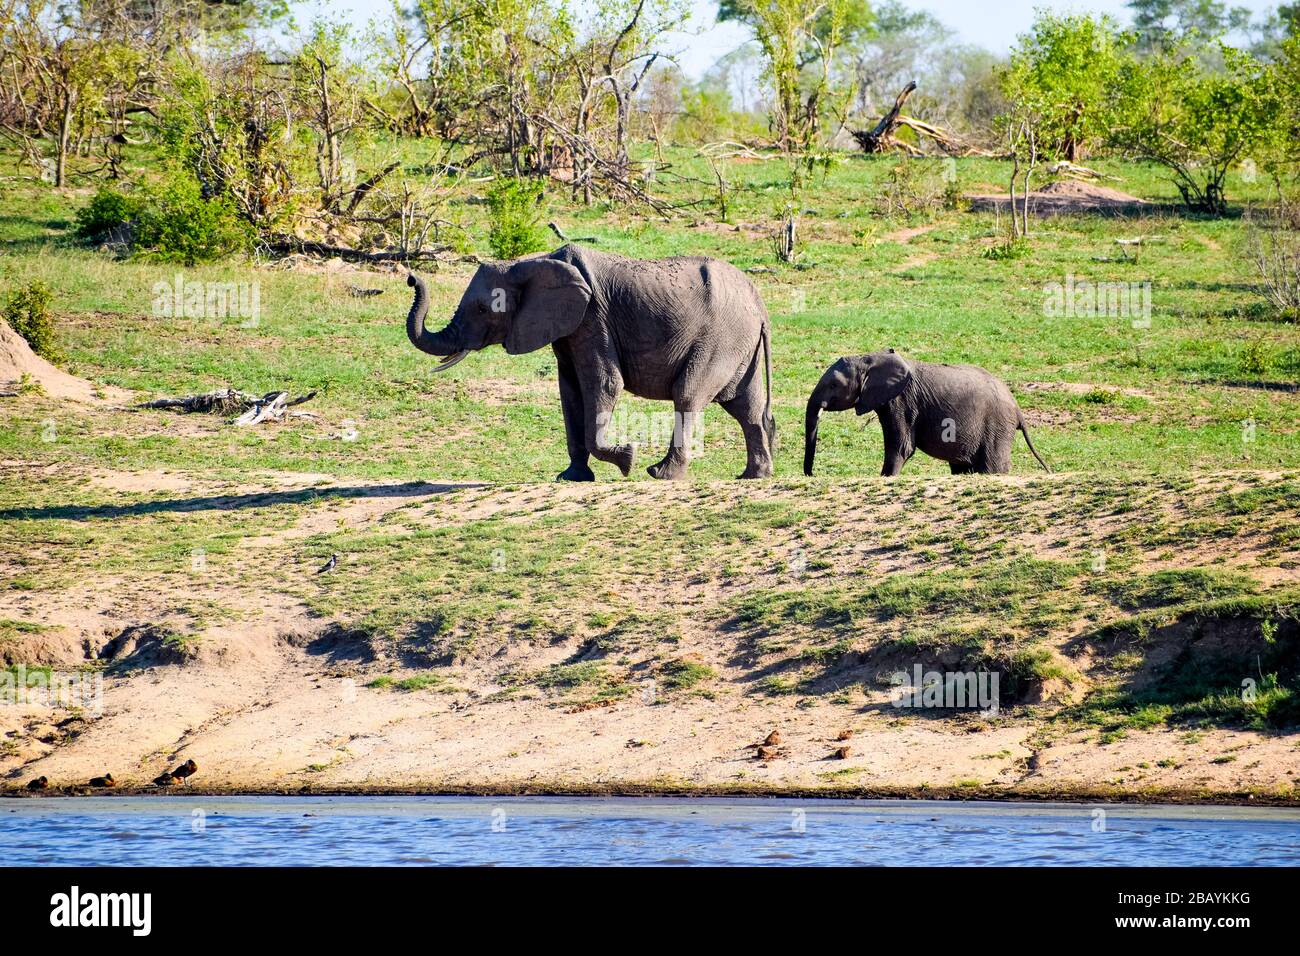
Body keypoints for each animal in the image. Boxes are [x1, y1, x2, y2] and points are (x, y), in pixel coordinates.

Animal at [406, 244, 775, 480]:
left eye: (484, 309)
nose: (411, 277)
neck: (532, 262)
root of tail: (759, 305)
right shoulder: (567, 328)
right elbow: (570, 393)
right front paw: (571, 478)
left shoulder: (593, 319)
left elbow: (604, 383)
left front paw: (627, 459)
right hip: (738, 343)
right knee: (745, 407)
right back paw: (754, 476)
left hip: (721, 337)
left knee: (687, 395)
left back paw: (662, 474)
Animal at [803, 350, 1051, 477]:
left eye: (834, 385)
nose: (812, 475)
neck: (869, 358)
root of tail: (1017, 409)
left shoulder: (902, 401)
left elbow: (901, 447)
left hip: (996, 427)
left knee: (991, 467)